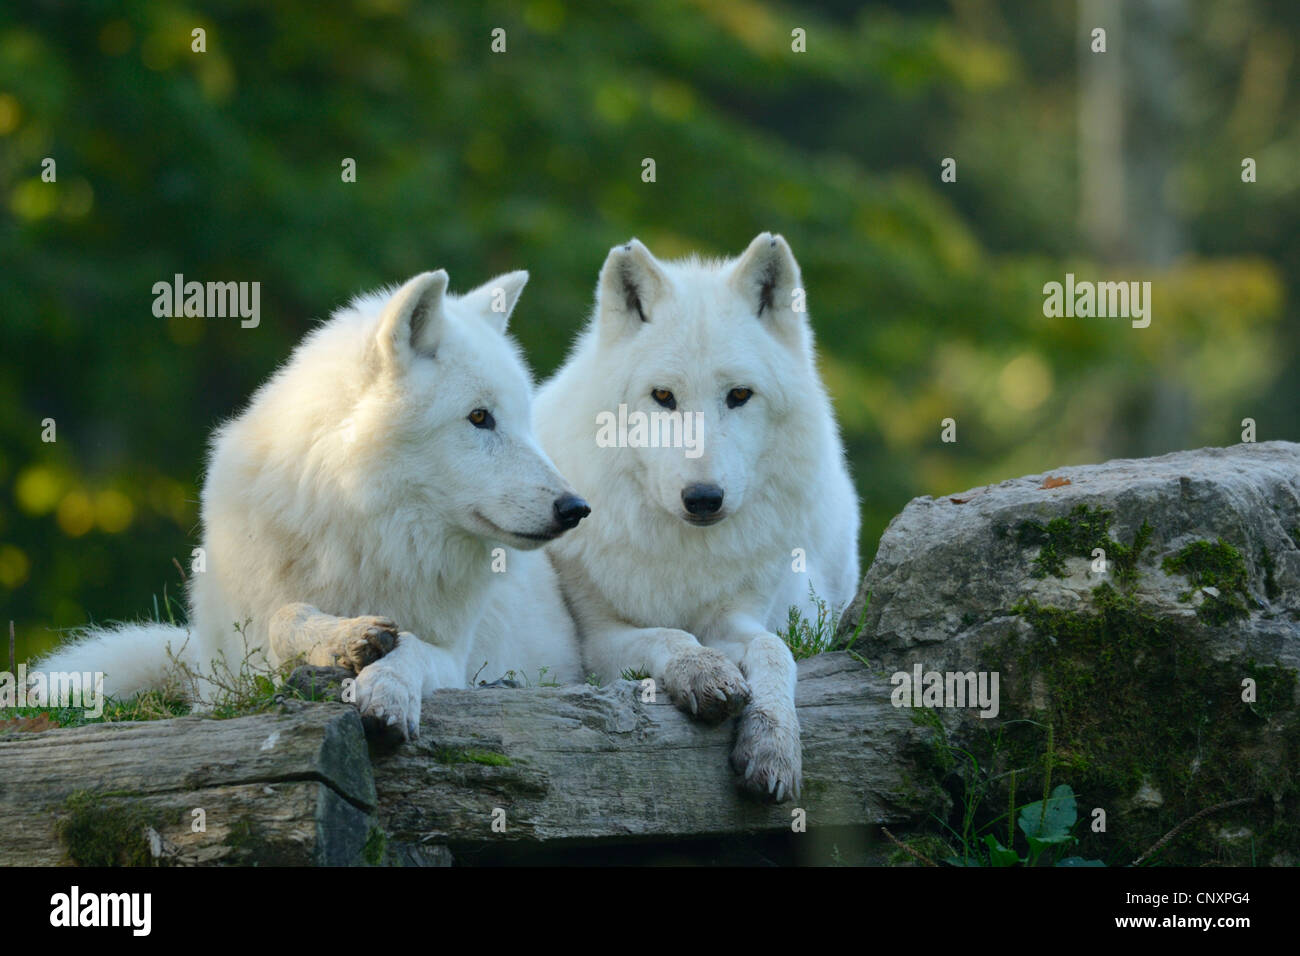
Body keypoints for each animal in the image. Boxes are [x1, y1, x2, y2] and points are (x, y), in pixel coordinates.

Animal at [35, 269, 589, 741]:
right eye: (479, 417)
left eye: (525, 421)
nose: (577, 508)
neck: (362, 533)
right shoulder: (242, 665)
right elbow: (284, 617)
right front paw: (343, 637)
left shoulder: (455, 657)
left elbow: (412, 649)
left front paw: (386, 689)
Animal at [535, 233, 860, 802]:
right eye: (663, 396)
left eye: (739, 395)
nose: (704, 498)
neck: (682, 556)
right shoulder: (597, 640)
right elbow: (668, 636)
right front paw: (702, 672)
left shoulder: (738, 616)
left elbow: (775, 649)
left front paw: (774, 745)